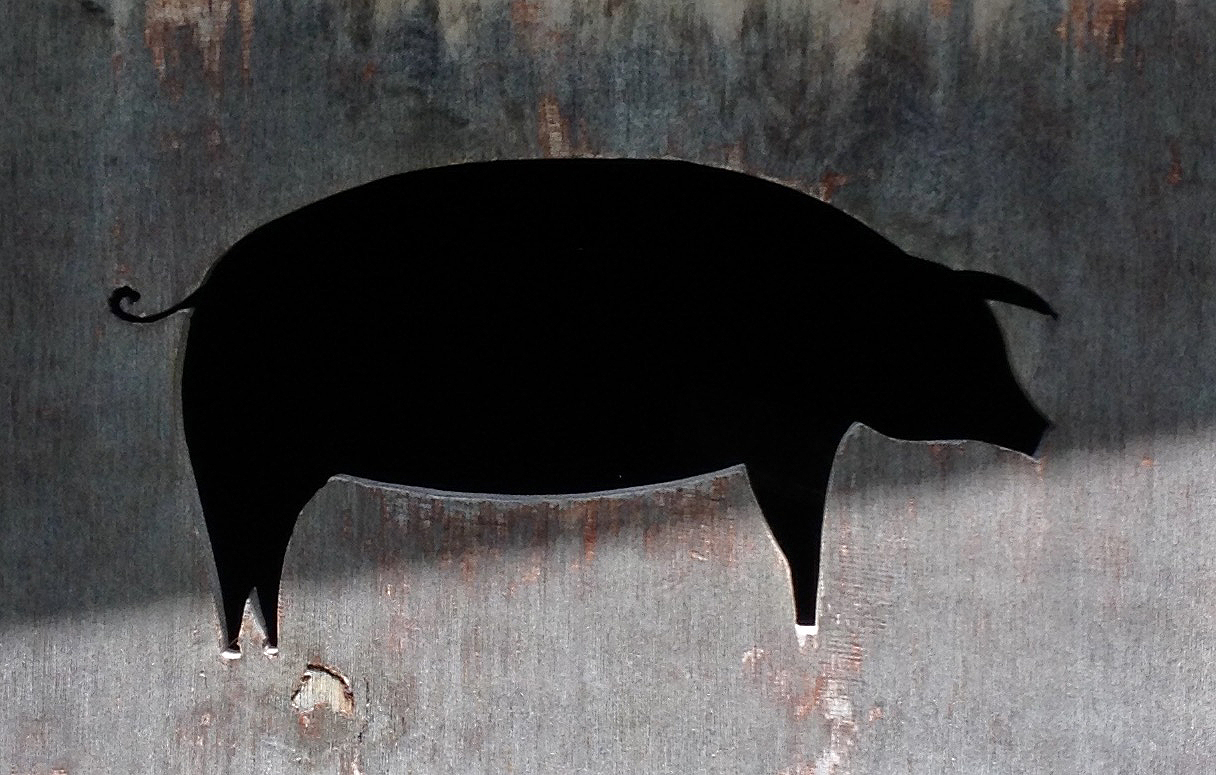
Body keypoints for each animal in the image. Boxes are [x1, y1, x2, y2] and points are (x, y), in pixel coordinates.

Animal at [109, 158, 1055, 658]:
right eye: (959, 346)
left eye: (990, 340)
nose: (1044, 427)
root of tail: (201, 288)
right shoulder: (790, 436)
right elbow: (799, 539)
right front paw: (807, 628)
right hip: (233, 465)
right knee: (236, 565)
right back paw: (245, 651)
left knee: (261, 569)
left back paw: (264, 649)